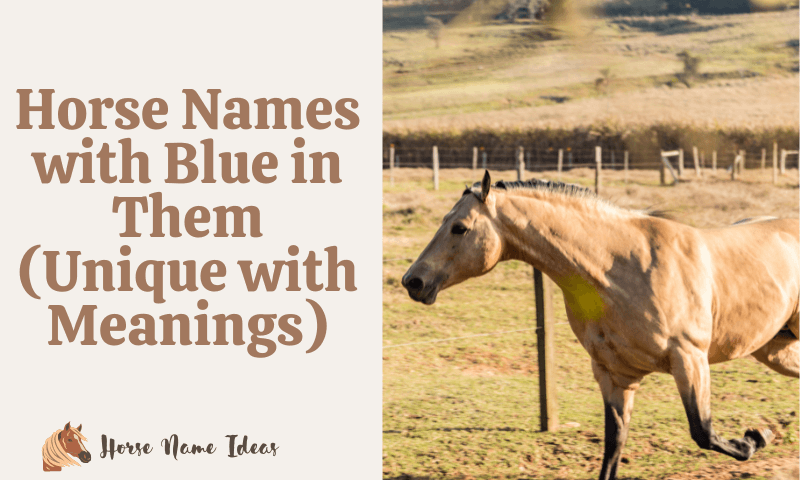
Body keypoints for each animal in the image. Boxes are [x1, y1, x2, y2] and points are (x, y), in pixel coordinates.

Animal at [402, 171, 799, 480]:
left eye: (459, 227)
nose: (413, 281)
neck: (620, 269)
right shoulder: (614, 374)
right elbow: (613, 445)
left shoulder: (689, 359)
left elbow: (703, 431)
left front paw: (756, 437)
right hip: (776, 350)